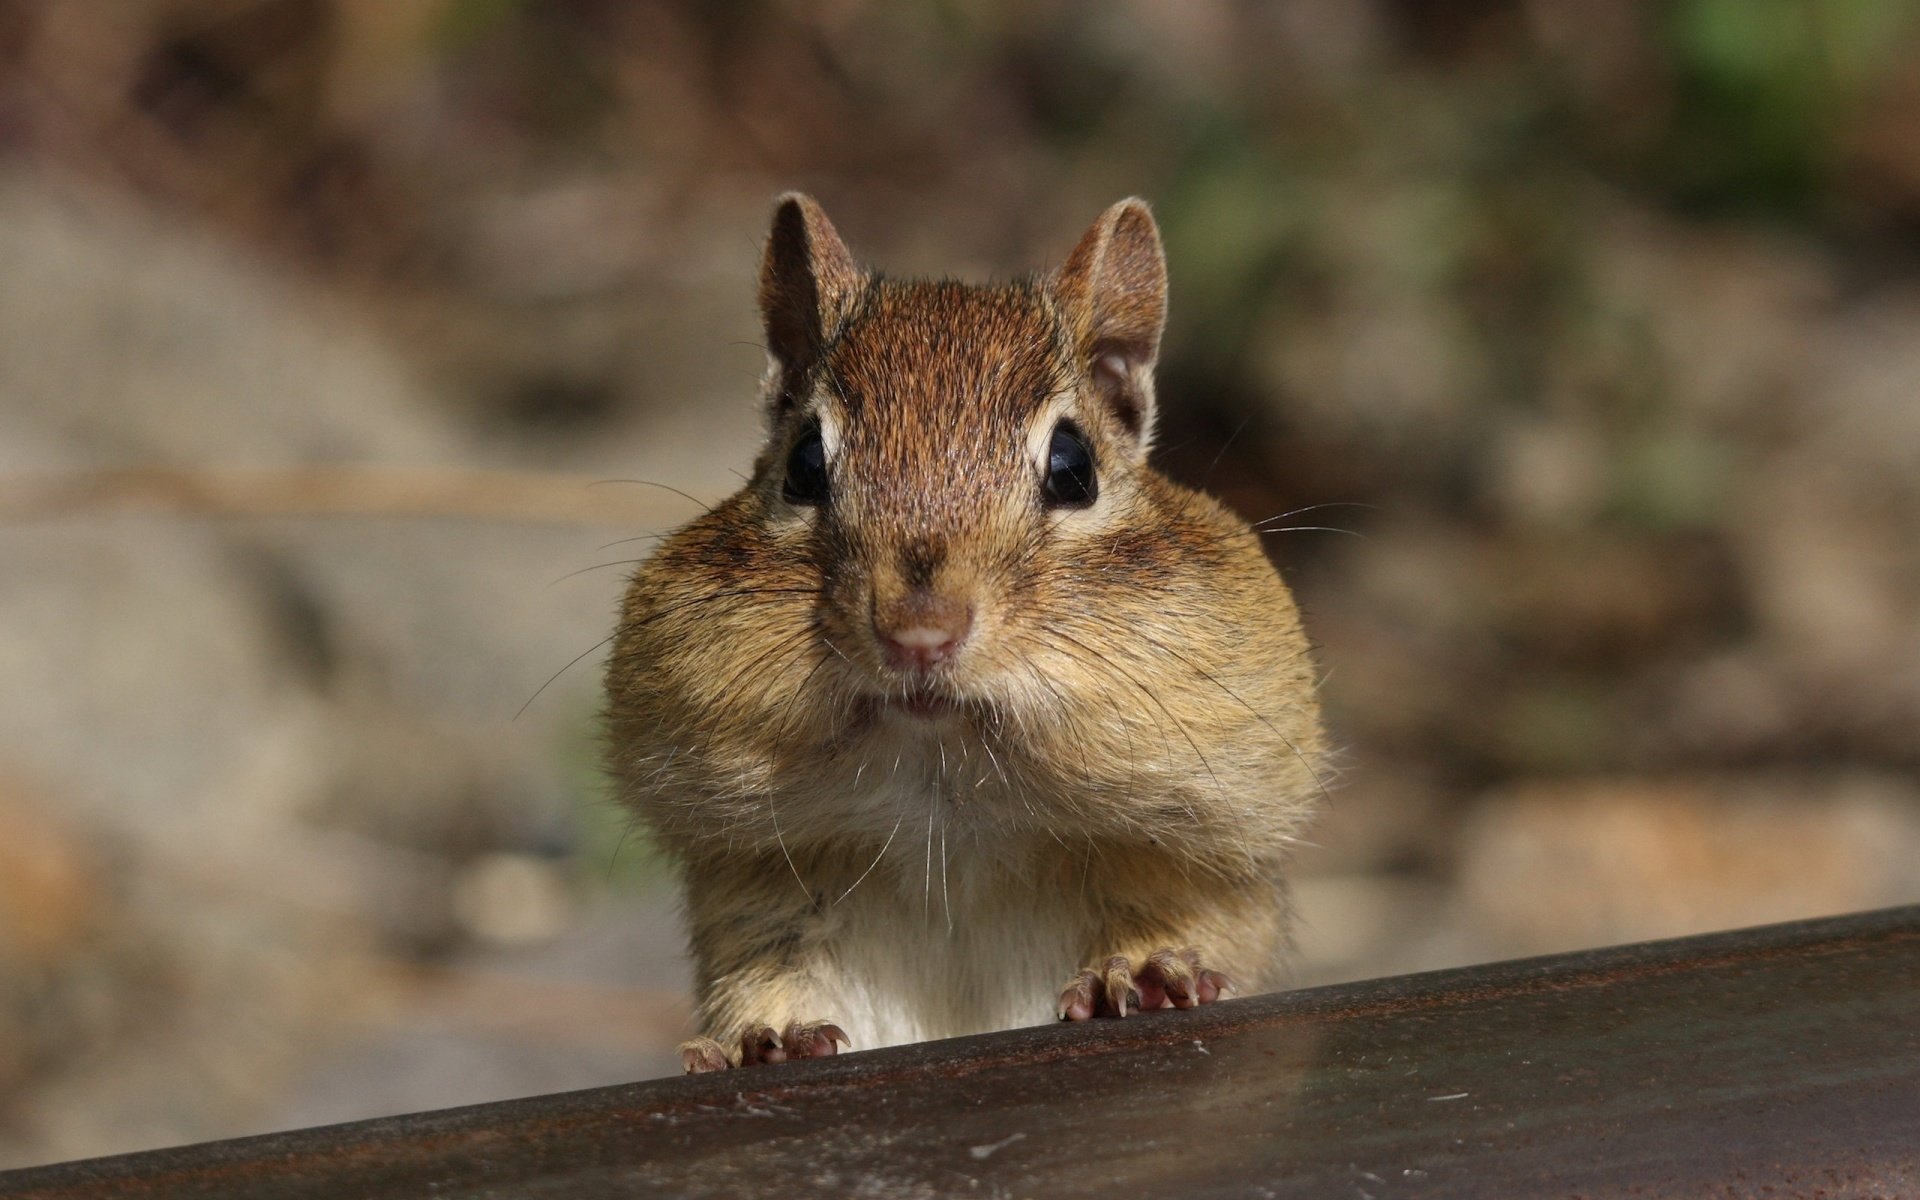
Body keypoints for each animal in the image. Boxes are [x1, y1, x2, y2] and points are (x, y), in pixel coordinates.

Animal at [604, 194, 1324, 1073]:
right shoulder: (762, 896)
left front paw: (1146, 972)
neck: (948, 803)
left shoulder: (1199, 856)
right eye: (804, 463)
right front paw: (762, 1039)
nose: (919, 634)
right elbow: (769, 975)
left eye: (1074, 466)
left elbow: (1189, 923)